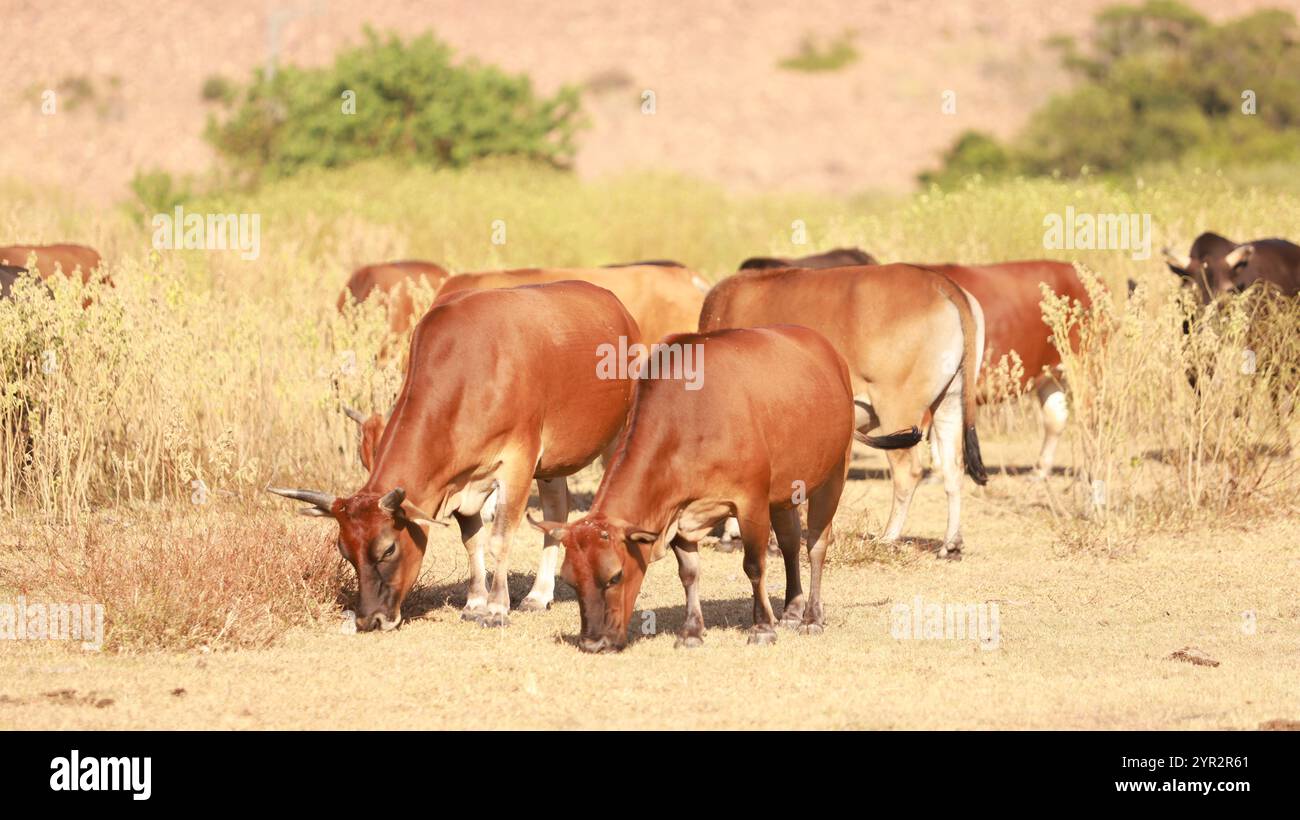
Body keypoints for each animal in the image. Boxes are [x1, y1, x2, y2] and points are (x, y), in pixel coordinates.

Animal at [270, 281, 640, 630]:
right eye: (344, 551)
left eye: (388, 548)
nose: (370, 619)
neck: (470, 373)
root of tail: (617, 306)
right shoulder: (462, 479)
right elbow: (472, 541)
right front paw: (475, 603)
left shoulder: (518, 462)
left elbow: (499, 538)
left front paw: (496, 608)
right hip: (553, 463)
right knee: (556, 508)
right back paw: (539, 594)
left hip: (619, 430)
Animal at [530, 325, 855, 652]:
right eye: (570, 580)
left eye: (615, 576)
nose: (592, 643)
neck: (690, 421)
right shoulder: (679, 511)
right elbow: (688, 572)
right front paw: (691, 631)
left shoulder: (751, 502)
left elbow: (754, 565)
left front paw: (762, 628)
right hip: (785, 493)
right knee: (790, 541)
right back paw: (791, 610)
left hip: (833, 474)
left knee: (815, 544)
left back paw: (812, 617)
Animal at [700, 264, 987, 558]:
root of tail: (939, 282)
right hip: (950, 401)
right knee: (953, 469)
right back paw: (951, 543)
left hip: (897, 409)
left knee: (908, 472)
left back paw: (888, 538)